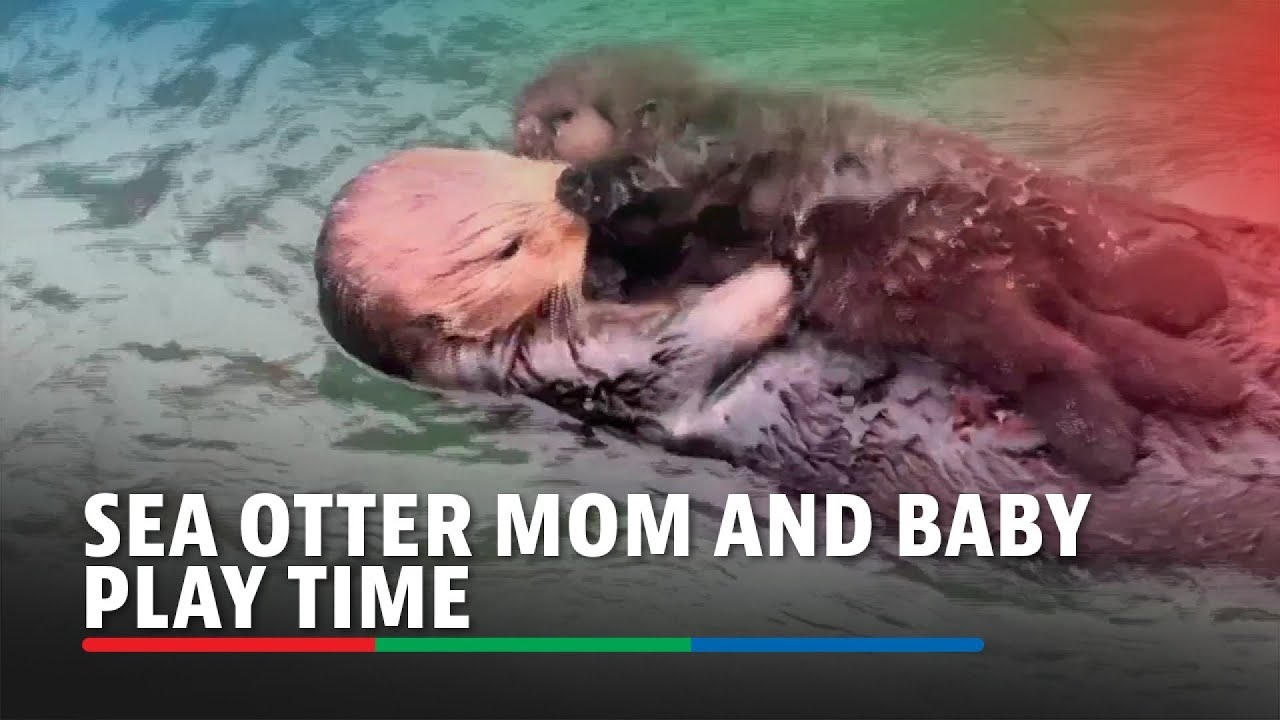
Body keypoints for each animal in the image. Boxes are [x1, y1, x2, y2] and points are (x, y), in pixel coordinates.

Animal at [314, 146, 1280, 574]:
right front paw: (777, 277)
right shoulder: (561, 360)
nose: (568, 187)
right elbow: (681, 353)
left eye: (517, 159)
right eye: (508, 245)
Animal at [510, 44, 1248, 485]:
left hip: (950, 278)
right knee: (1097, 315)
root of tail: (1018, 268)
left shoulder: (695, 151)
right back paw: (1198, 342)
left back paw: (1105, 439)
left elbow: (658, 186)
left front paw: (585, 186)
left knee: (1062, 346)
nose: (521, 133)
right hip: (1000, 270)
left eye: (559, 115)